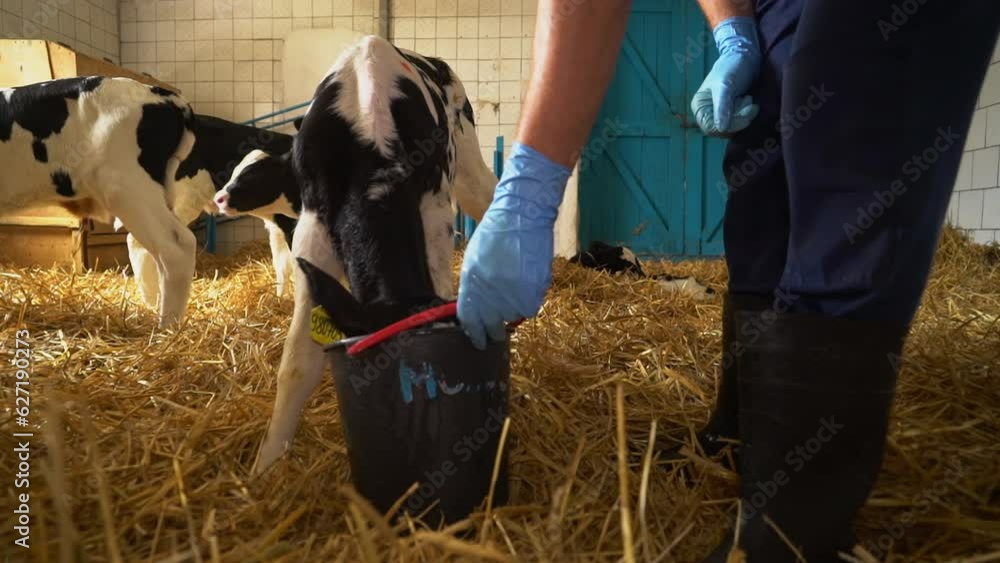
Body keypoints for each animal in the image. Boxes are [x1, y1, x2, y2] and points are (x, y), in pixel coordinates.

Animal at [216, 36, 499, 474]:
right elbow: (297, 364)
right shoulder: (311, 237)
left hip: (467, 165)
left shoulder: (434, 216)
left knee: (488, 195)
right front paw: (267, 464)